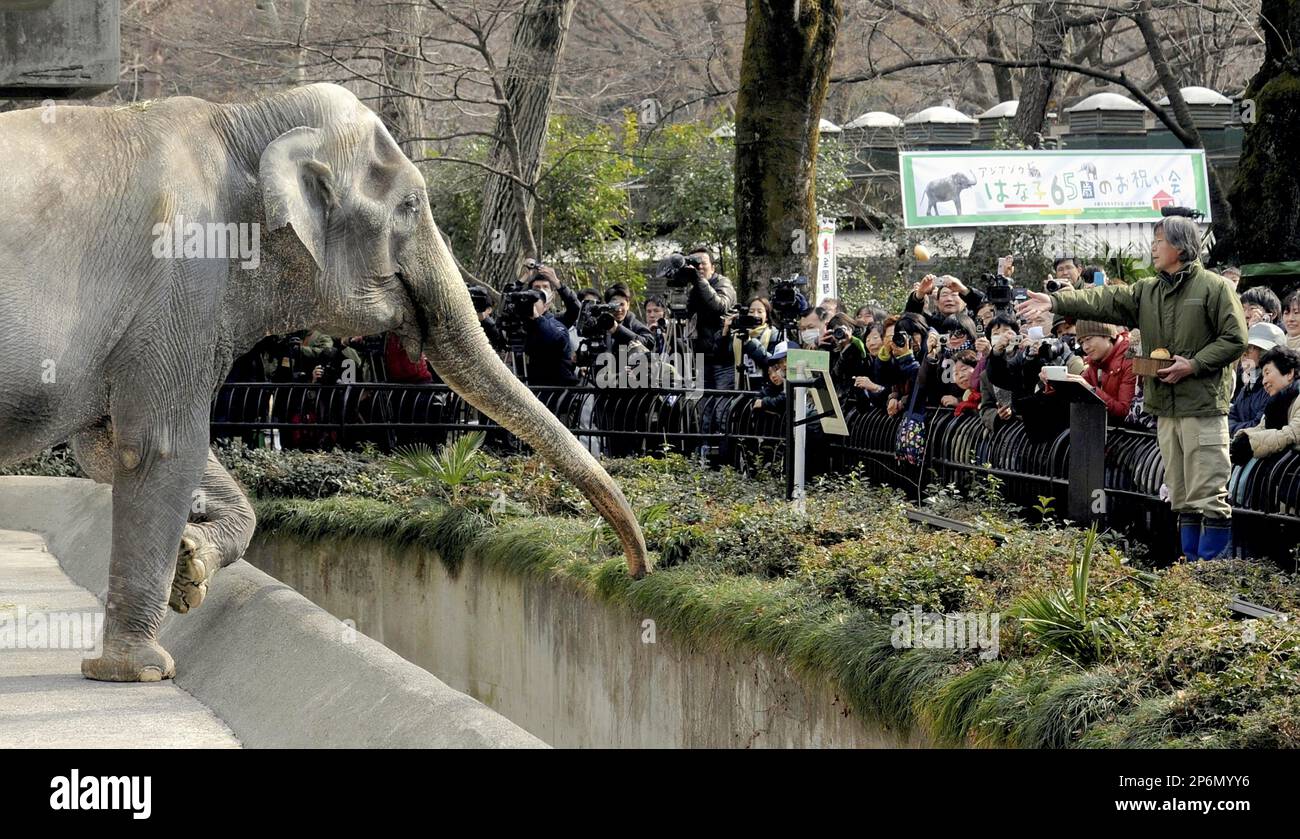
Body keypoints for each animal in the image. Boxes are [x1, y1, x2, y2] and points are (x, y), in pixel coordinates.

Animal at [0, 83, 648, 682]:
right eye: (410, 206)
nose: (637, 572)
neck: (244, 120)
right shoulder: (183, 277)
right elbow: (160, 447)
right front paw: (140, 670)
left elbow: (105, 447)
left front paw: (190, 567)